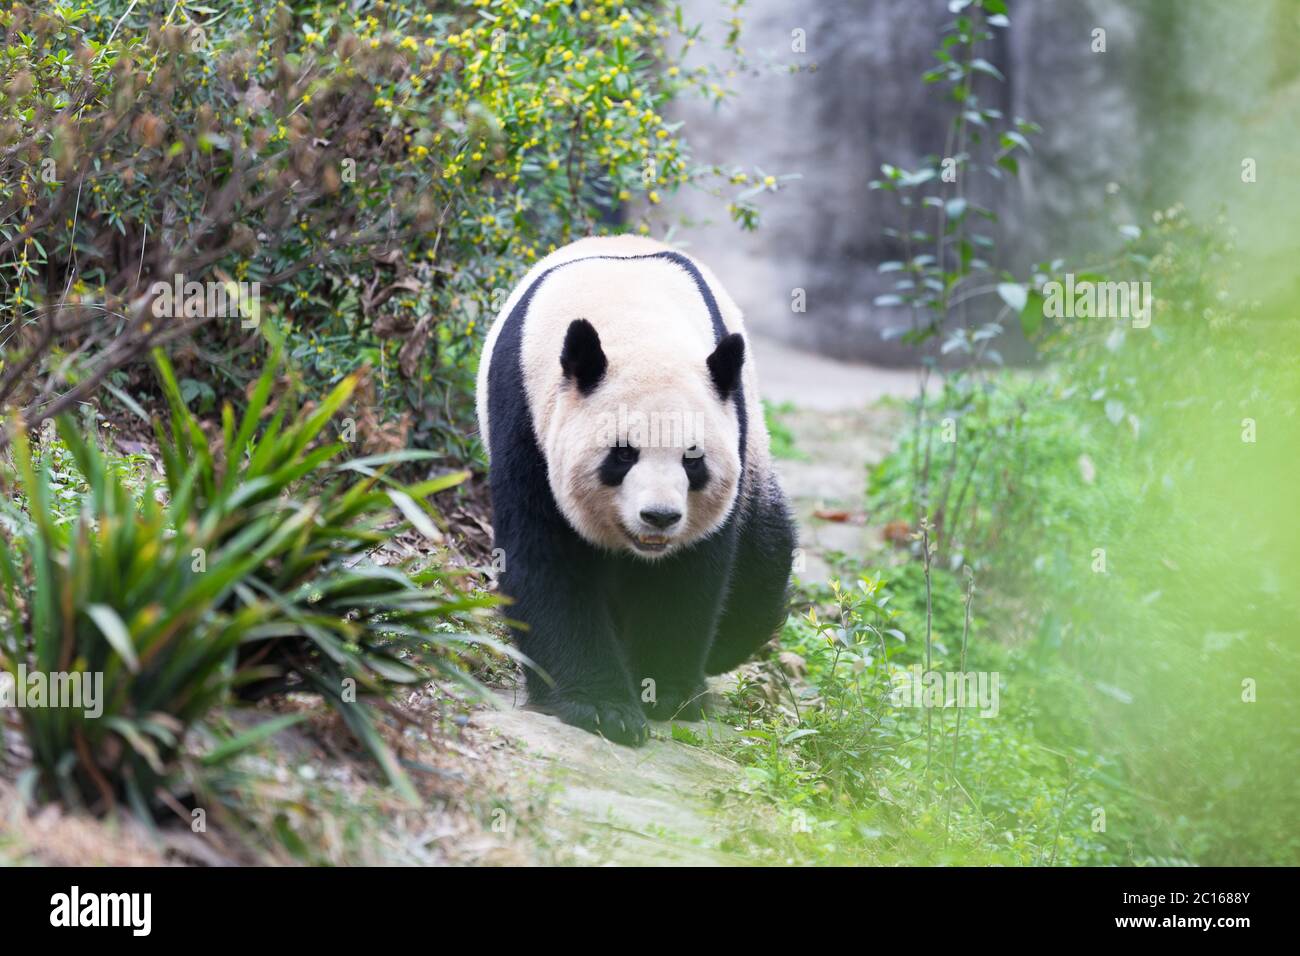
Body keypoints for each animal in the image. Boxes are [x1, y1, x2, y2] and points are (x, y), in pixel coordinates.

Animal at [476, 235, 796, 745]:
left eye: (693, 459)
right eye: (622, 455)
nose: (659, 517)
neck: (633, 314)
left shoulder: (731, 427)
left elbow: (686, 571)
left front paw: (664, 689)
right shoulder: (525, 417)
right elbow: (545, 556)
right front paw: (601, 705)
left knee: (762, 566)